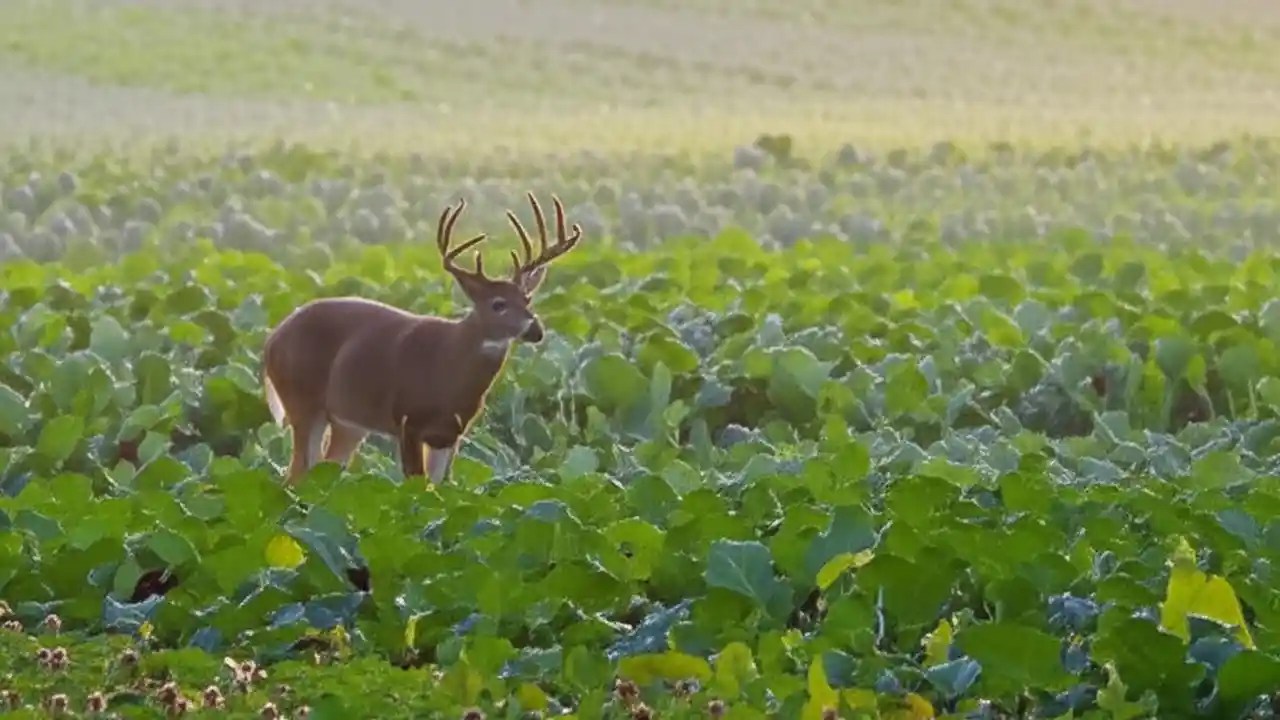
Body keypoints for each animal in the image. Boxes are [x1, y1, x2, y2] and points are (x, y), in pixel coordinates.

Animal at [260, 192, 583, 485]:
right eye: (498, 304)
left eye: (527, 299)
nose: (535, 330)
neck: (449, 369)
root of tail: (272, 339)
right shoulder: (408, 421)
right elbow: (415, 485)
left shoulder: (450, 434)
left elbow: (438, 489)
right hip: (302, 400)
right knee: (296, 474)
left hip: (348, 423)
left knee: (321, 468)